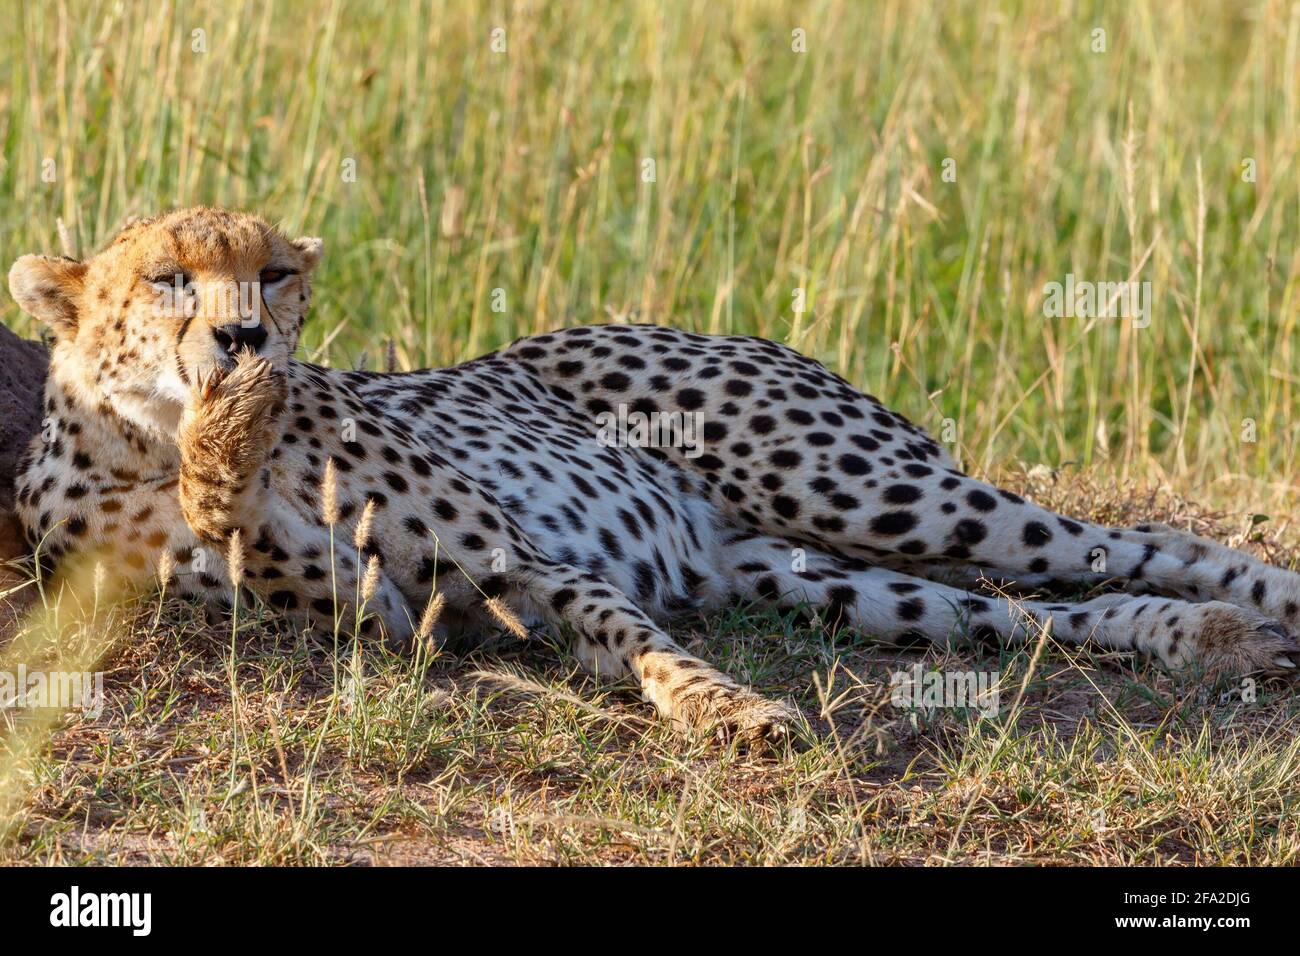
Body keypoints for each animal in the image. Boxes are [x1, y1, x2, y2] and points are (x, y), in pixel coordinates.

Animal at [7, 206, 1300, 743]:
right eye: (170, 277)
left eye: (273, 272)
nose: (245, 339)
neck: (153, 434)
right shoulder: (381, 608)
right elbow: (277, 545)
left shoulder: (508, 560)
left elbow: (633, 635)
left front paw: (724, 706)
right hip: (802, 571)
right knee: (1033, 616)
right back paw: (1201, 635)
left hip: (857, 485)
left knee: (1119, 542)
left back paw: (1251, 608)